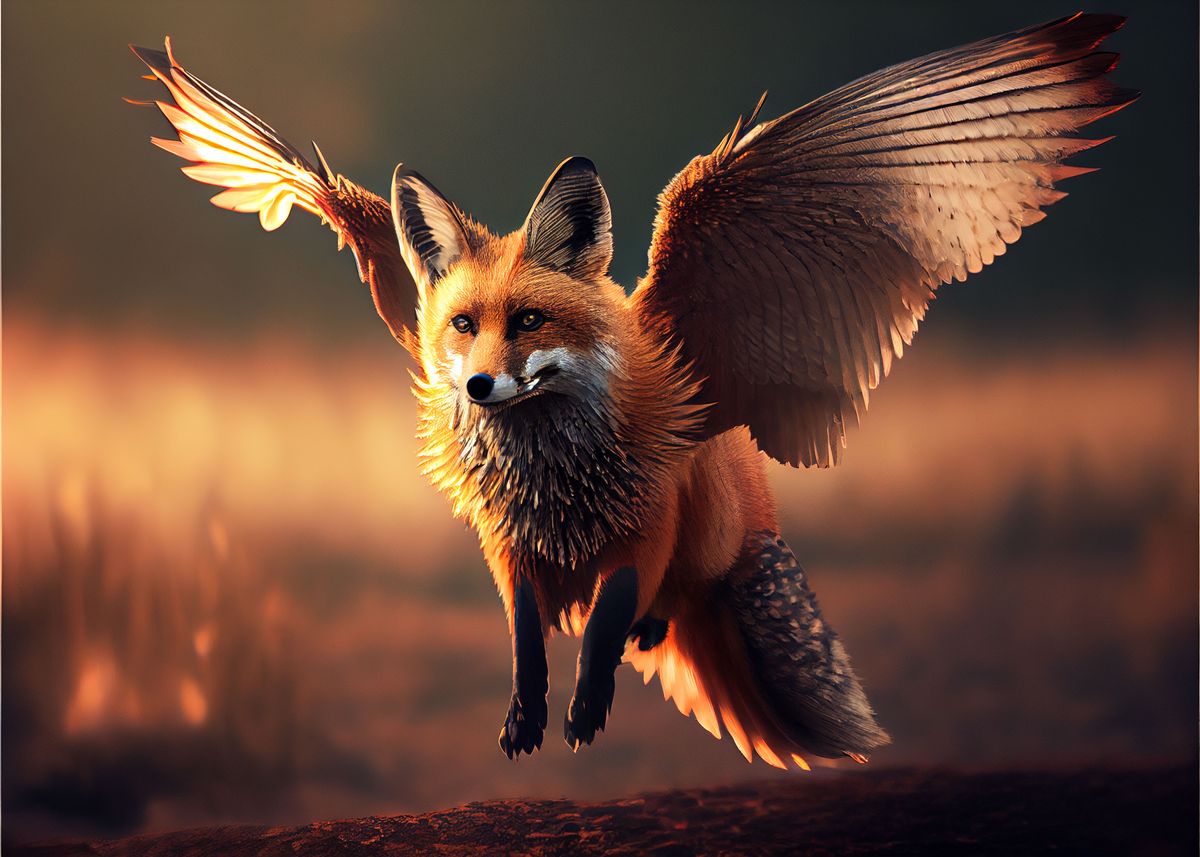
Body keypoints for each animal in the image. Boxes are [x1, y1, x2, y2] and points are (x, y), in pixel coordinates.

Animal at [130, 13, 1134, 767]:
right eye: (461, 326)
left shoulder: (642, 534)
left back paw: (645, 640)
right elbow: (524, 640)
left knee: (655, 611)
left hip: (702, 545)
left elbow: (606, 618)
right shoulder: (508, 549)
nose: (482, 386)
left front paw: (585, 706)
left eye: (531, 320)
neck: (553, 476)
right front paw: (527, 716)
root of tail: (757, 512)